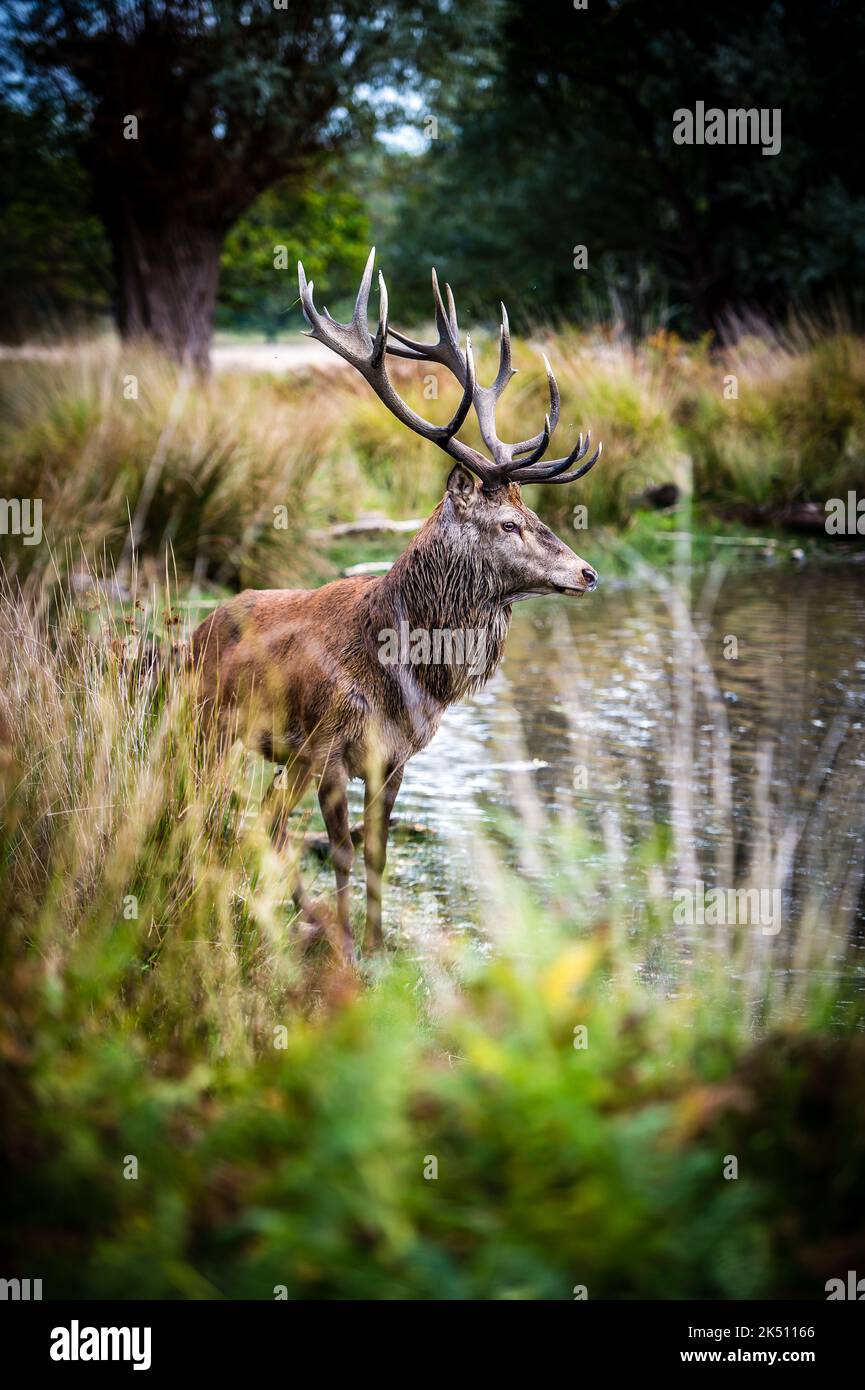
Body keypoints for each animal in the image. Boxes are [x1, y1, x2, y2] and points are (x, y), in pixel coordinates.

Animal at [192, 249, 602, 958]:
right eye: (509, 525)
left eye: (536, 517)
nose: (587, 572)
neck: (406, 675)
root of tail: (189, 634)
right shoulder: (325, 745)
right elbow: (329, 849)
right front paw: (344, 944)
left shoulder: (396, 758)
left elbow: (375, 852)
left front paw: (378, 946)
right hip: (211, 724)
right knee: (248, 822)